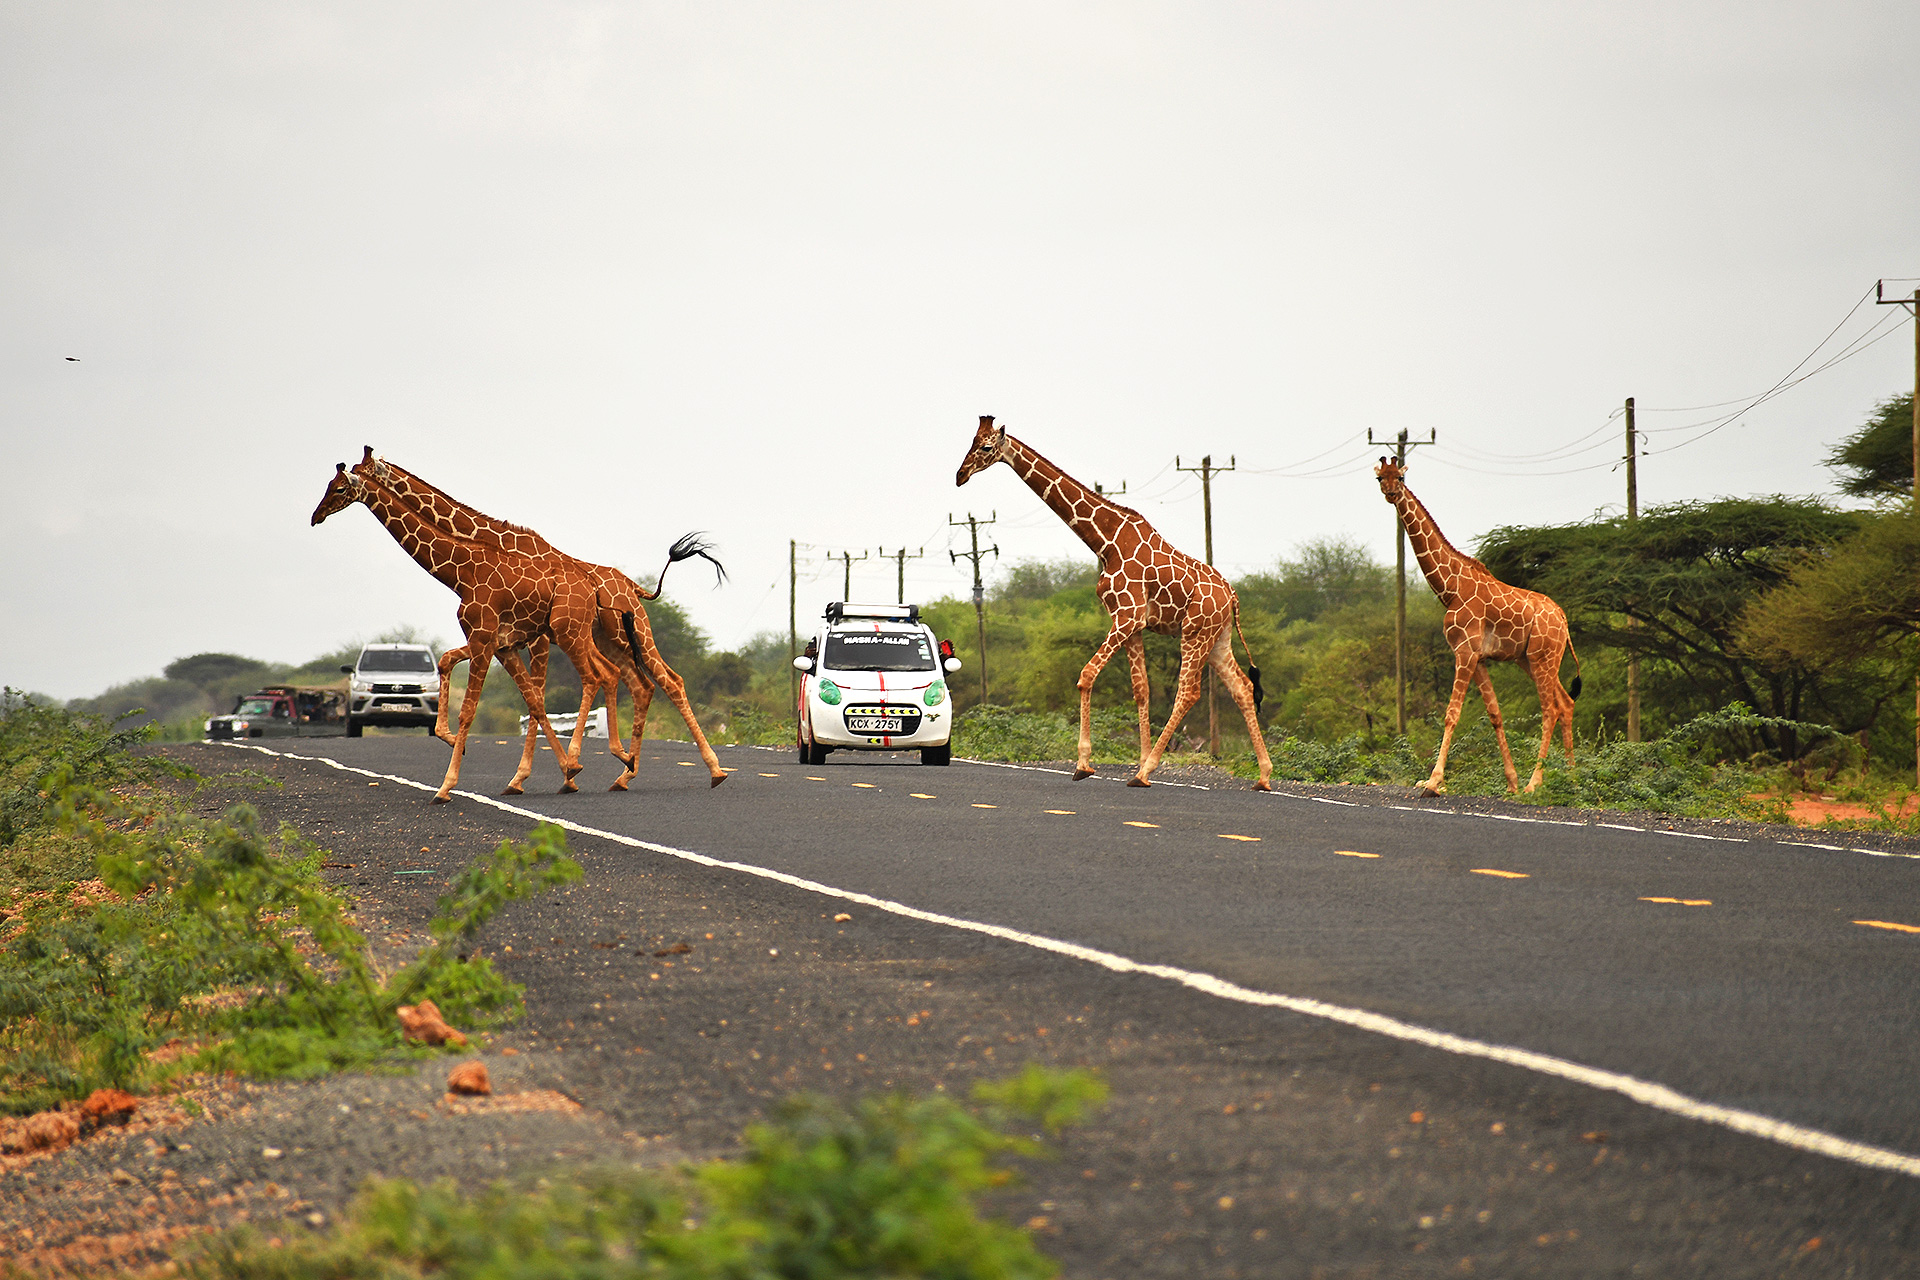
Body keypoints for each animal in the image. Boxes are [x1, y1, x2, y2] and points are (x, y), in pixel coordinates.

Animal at [311, 462, 616, 802]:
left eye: (339, 488)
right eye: (328, 484)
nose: (316, 516)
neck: (460, 574)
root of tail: (591, 587)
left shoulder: (483, 639)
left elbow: (468, 711)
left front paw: (445, 786)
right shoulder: (500, 644)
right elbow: (530, 700)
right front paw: (563, 773)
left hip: (568, 632)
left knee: (595, 677)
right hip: (577, 635)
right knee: (608, 673)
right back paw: (612, 765)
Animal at [349, 449, 728, 790]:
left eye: (359, 471)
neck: (488, 541)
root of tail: (633, 586)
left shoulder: (532, 636)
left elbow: (537, 696)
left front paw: (530, 776)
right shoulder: (510, 635)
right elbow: (513, 687)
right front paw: (538, 773)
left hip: (627, 635)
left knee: (668, 681)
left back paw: (713, 770)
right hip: (611, 640)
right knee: (641, 684)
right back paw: (626, 774)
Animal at [956, 416, 1273, 790]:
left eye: (986, 446)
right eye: (970, 443)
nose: (959, 475)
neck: (1105, 542)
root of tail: (1232, 596)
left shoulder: (1126, 616)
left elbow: (1086, 675)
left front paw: (1085, 764)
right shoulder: (1131, 623)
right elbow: (1141, 689)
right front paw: (1130, 760)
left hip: (1195, 633)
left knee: (1189, 692)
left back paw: (1147, 772)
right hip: (1217, 638)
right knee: (1243, 687)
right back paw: (1263, 776)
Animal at [1373, 456, 1582, 795]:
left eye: (1401, 478)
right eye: (1380, 477)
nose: (1391, 493)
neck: (1449, 588)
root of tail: (1563, 619)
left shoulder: (1465, 652)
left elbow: (1451, 714)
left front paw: (1433, 781)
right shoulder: (1478, 657)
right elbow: (1495, 713)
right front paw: (1510, 782)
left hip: (1543, 656)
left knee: (1550, 708)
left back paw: (1535, 783)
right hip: (1530, 659)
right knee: (1565, 703)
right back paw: (1571, 778)